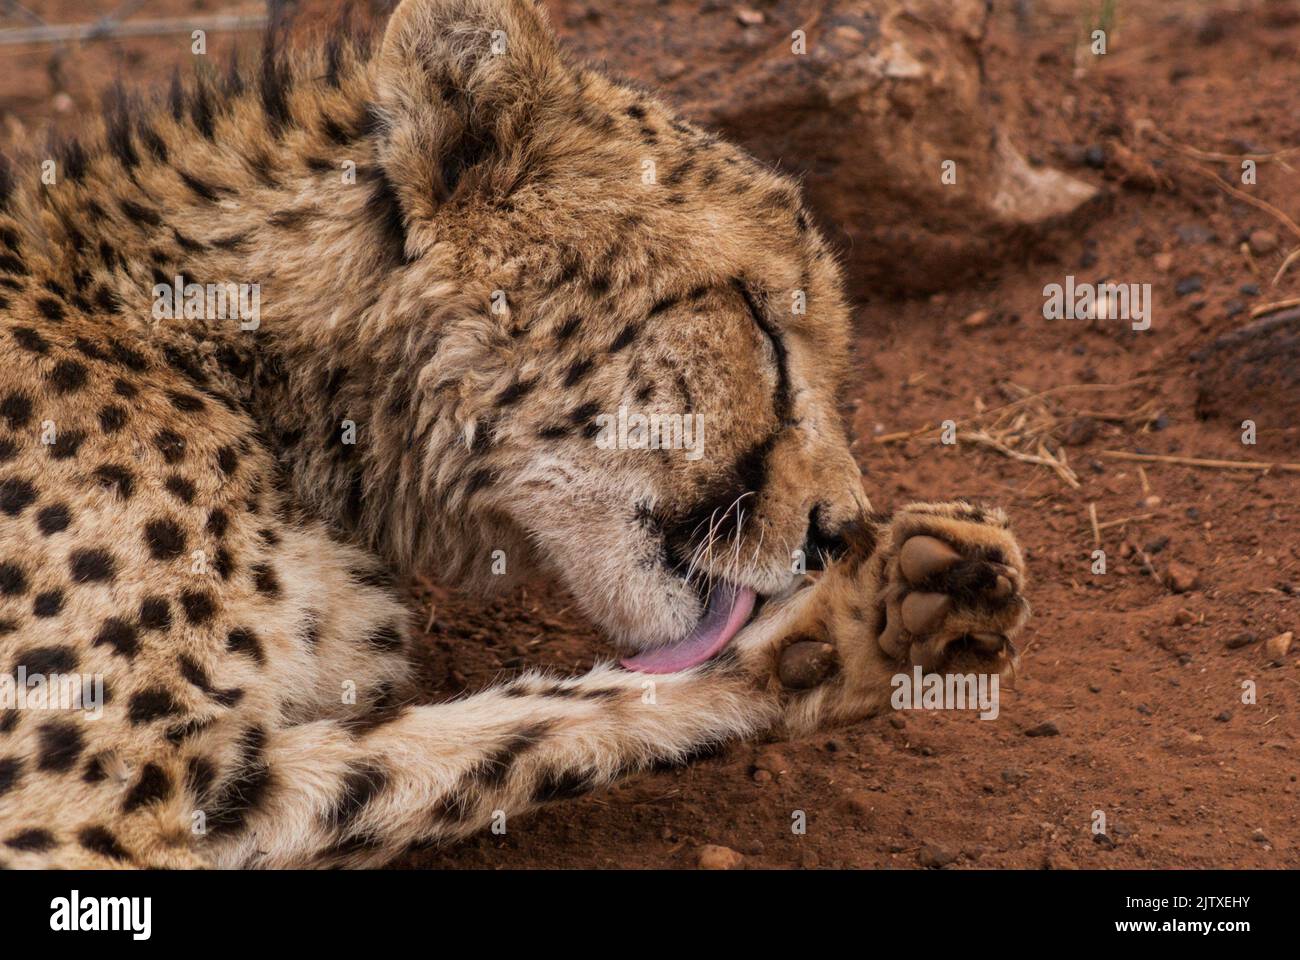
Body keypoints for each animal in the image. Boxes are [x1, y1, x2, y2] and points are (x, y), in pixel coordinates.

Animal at [0, 0, 1029, 868]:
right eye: (758, 319)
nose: (837, 529)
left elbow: (476, 744)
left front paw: (869, 620)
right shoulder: (80, 809)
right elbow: (494, 739)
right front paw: (850, 612)